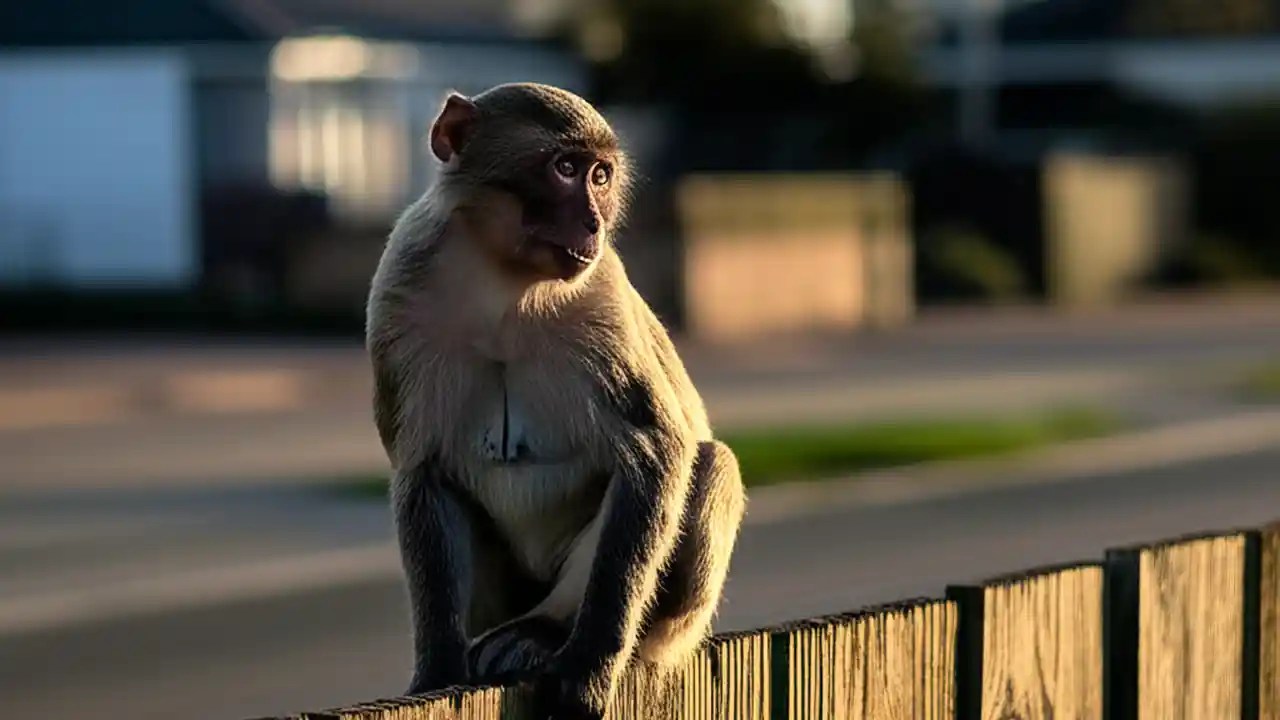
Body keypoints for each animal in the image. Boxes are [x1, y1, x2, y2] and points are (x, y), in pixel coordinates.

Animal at [365, 83, 746, 720]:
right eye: (565, 169)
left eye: (601, 175)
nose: (592, 222)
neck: (504, 283)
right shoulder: (399, 294)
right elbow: (423, 469)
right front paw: (436, 670)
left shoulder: (602, 300)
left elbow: (654, 453)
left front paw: (589, 662)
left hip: (665, 619)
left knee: (711, 462)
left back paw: (546, 633)